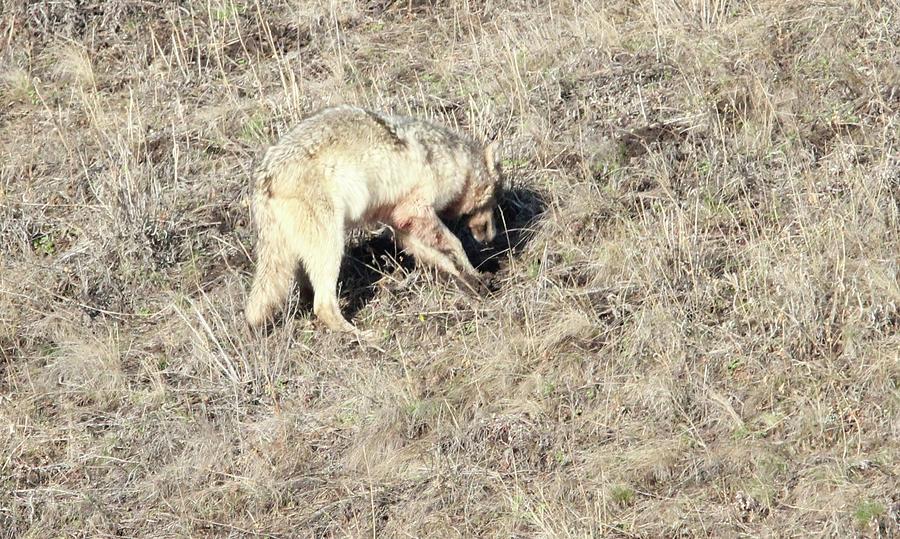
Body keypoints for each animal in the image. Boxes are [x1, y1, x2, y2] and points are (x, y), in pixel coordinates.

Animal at [245, 105, 502, 335]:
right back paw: (360, 335)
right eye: (495, 196)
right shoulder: (415, 209)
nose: (493, 236)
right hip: (331, 245)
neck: (453, 160)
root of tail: (263, 177)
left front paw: (470, 278)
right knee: (323, 305)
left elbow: (440, 256)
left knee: (305, 294)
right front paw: (474, 273)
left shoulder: (400, 223)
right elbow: (455, 243)